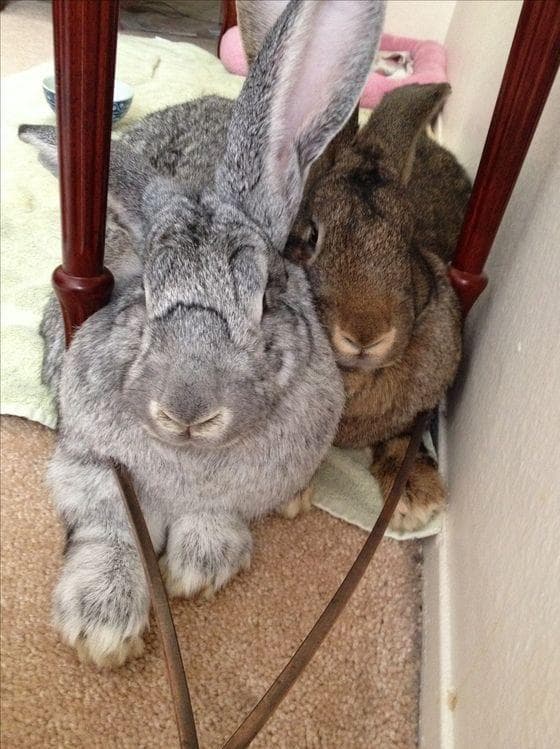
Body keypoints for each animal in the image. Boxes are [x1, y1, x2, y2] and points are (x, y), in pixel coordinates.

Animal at [19, 0, 386, 667]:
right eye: (142, 294)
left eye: (266, 297)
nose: (187, 412)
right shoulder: (88, 462)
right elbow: (110, 525)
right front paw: (102, 625)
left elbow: (217, 515)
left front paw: (198, 566)